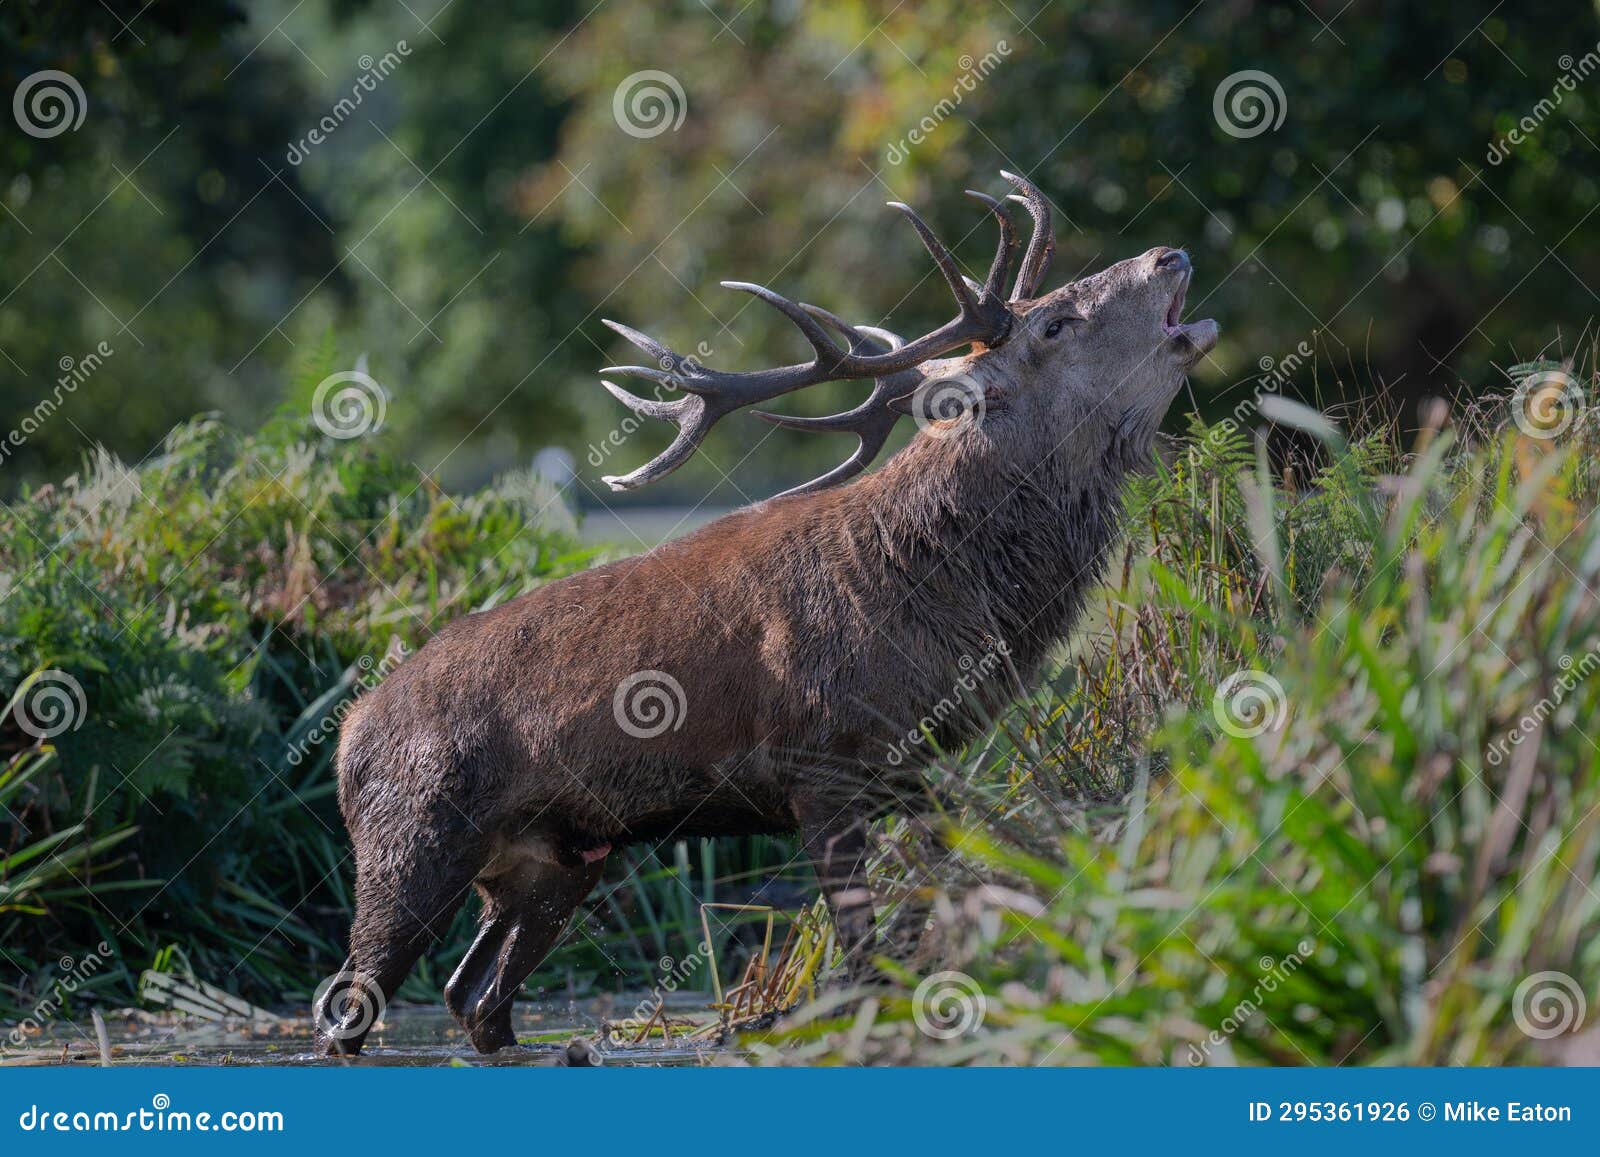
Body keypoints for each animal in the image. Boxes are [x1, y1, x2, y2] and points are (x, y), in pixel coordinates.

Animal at [315, 170, 1217, 1056]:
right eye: (1057, 324)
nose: (1168, 254)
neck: (946, 601)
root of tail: (350, 730)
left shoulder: (918, 764)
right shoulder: (820, 765)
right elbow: (863, 958)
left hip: (554, 861)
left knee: (474, 998)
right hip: (412, 837)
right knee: (346, 1003)